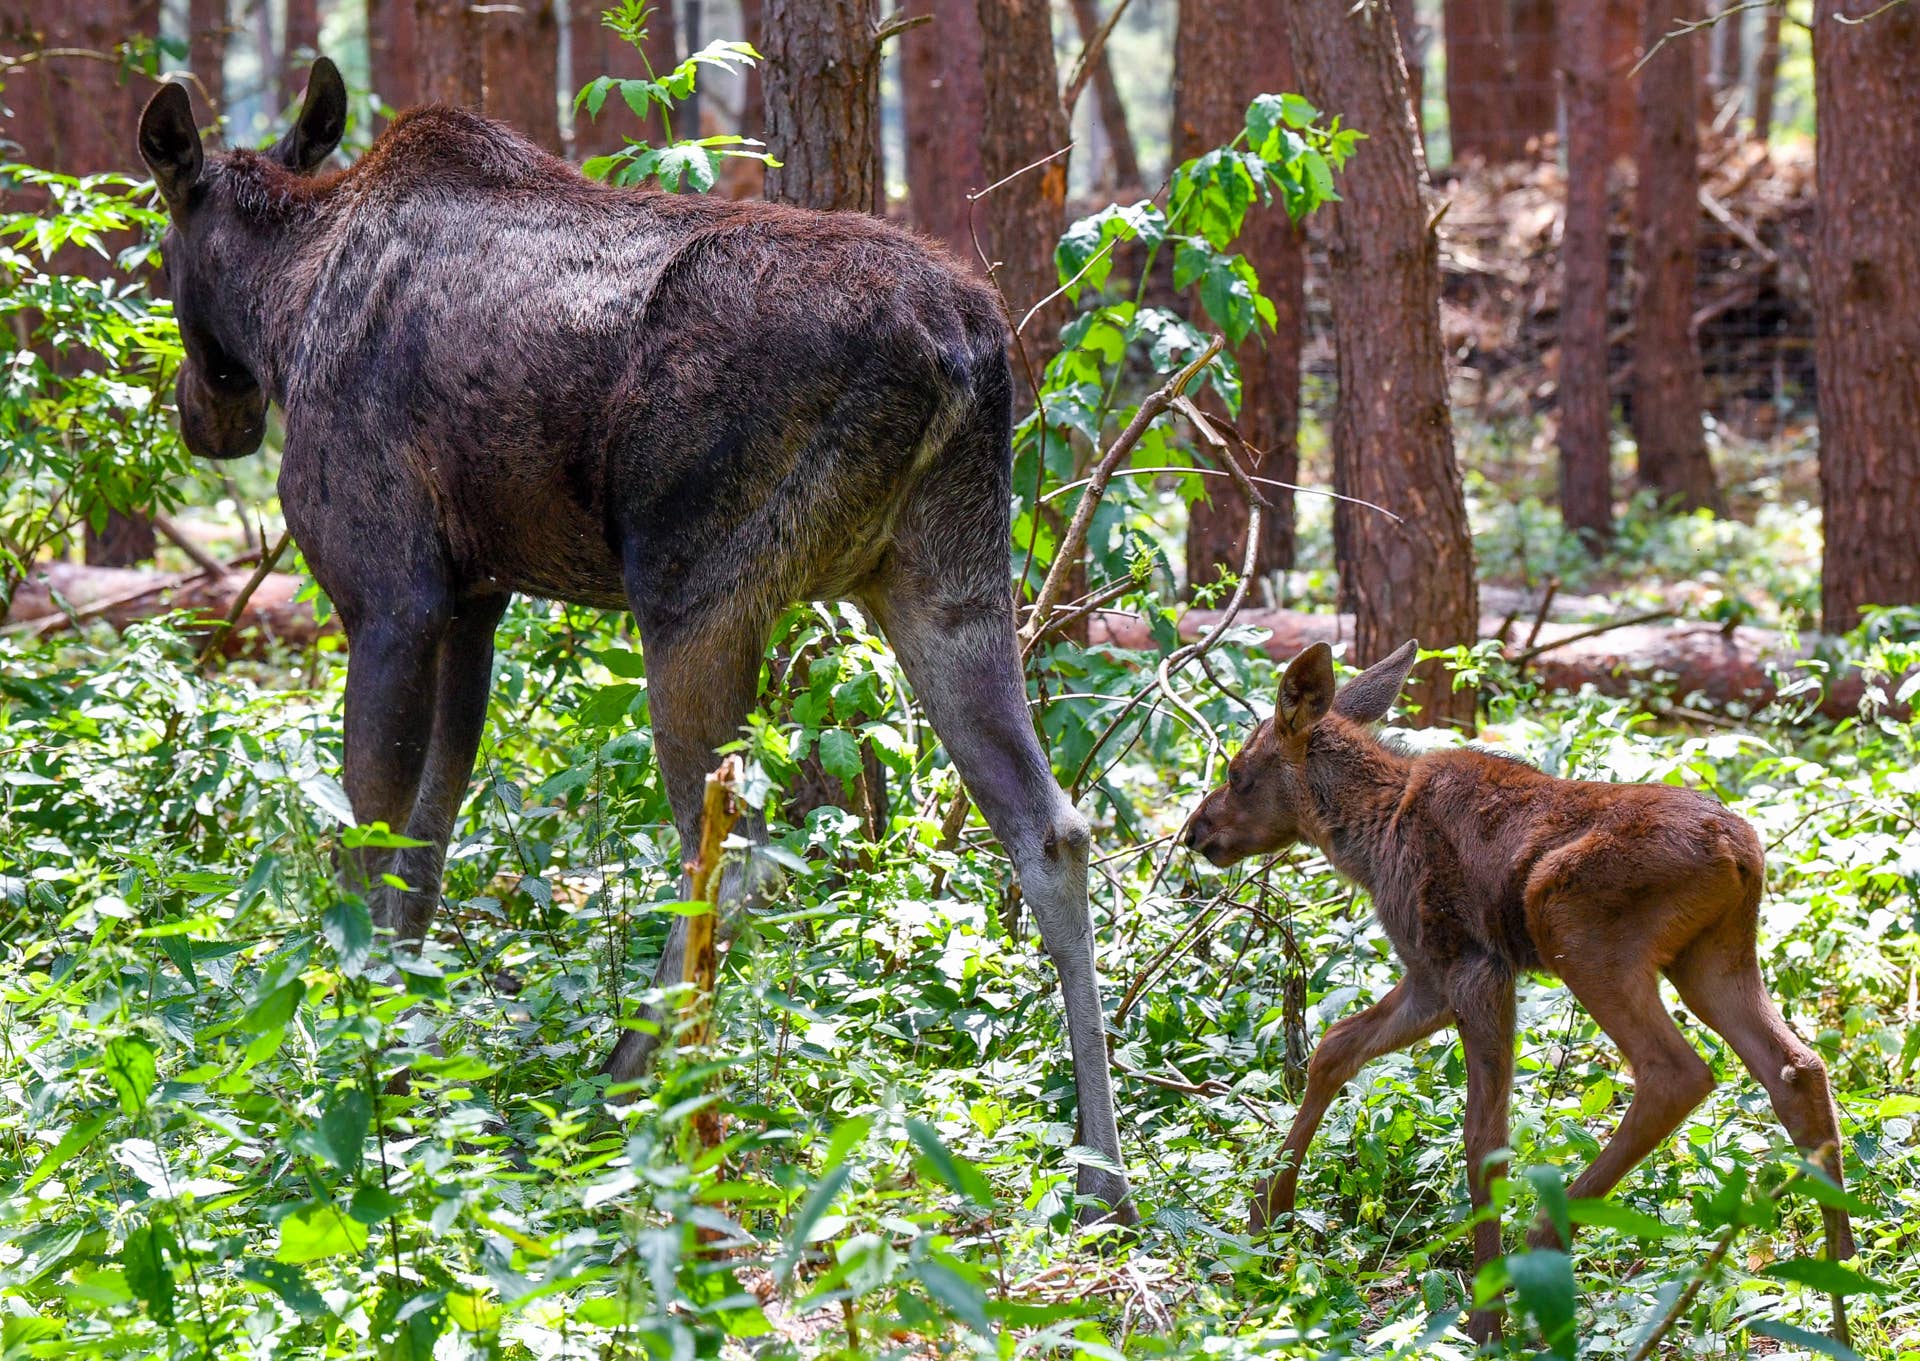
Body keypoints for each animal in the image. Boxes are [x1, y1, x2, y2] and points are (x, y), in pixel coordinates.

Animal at [134, 62, 1132, 1224]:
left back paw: (624, 1092)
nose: (203, 415)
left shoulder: (388, 593)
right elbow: (427, 845)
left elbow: (364, 841)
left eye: (162, 247)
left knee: (737, 842)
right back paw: (1101, 1174)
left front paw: (355, 1065)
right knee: (1049, 826)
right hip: (945, 580)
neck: (286, 307)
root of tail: (962, 349)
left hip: (695, 591)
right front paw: (412, 1062)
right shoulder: (475, 599)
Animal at [1183, 640, 1856, 1343]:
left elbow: (1484, 1136)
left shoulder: (1472, 966)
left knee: (1678, 1072)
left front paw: (1485, 1317)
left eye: (1237, 772)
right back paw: (1839, 1292)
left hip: (1578, 934)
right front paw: (1267, 1214)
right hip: (1712, 958)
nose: (1195, 831)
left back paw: (1540, 1246)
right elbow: (1335, 1047)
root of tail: (1740, 852)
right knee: (1798, 1067)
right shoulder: (1429, 979)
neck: (1370, 836)